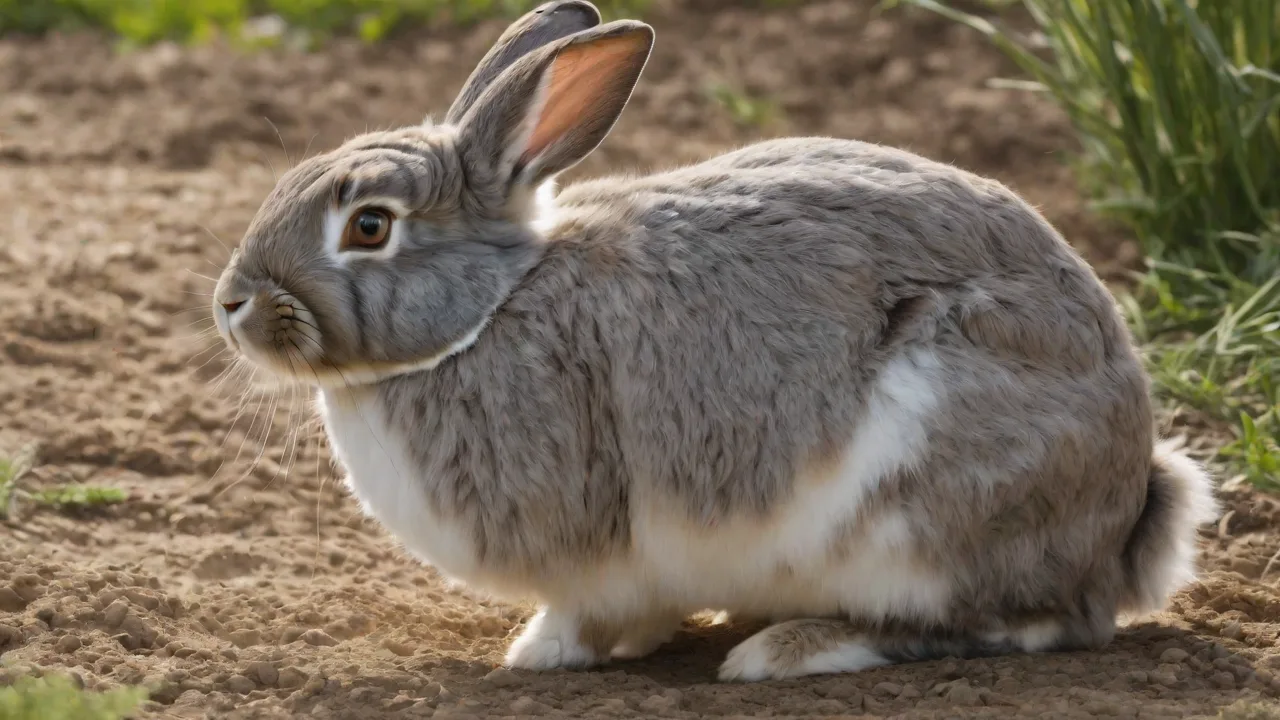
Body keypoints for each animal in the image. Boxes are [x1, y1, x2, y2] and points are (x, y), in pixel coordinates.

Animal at [211, 0, 1219, 681]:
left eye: (370, 226)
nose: (231, 304)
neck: (488, 310)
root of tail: (1126, 512)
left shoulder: (589, 547)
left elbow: (581, 612)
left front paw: (534, 655)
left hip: (924, 508)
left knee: (1012, 621)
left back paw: (789, 650)